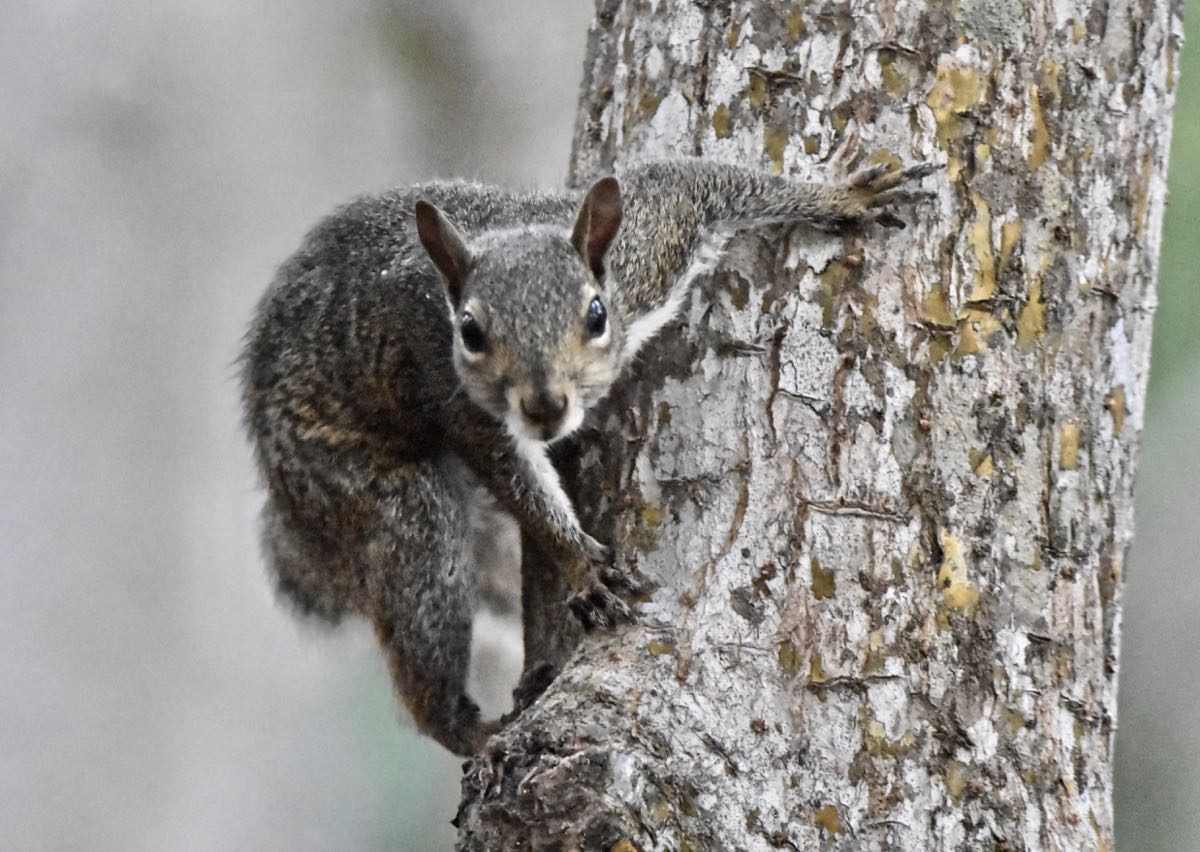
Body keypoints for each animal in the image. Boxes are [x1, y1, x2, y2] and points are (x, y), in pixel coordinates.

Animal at [241, 158, 935, 755]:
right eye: (469, 332)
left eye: (596, 313)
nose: (545, 405)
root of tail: (292, 519)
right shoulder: (455, 396)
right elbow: (518, 484)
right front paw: (580, 566)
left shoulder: (649, 244)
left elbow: (701, 182)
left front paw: (840, 198)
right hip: (363, 490)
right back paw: (471, 731)